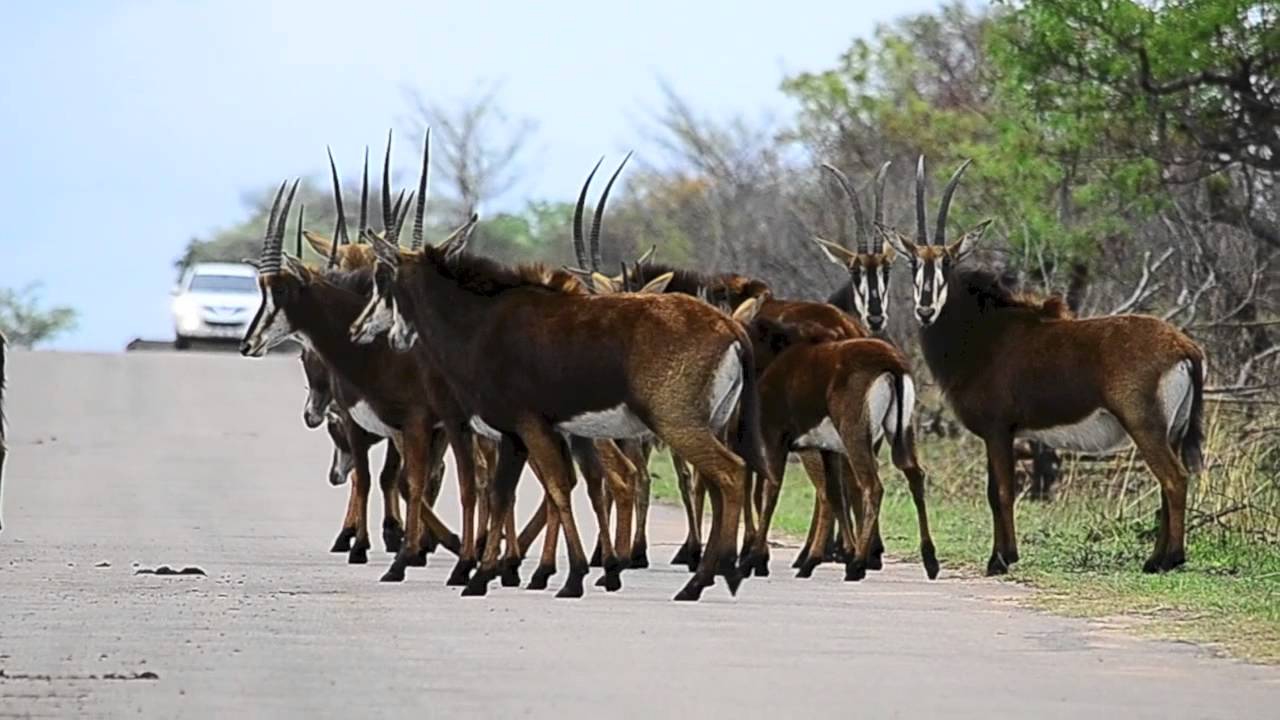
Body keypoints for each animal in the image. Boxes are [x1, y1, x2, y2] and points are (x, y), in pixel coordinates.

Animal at [350, 157, 769, 602]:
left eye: (384, 278)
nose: (387, 335)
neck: (480, 321)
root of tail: (728, 325)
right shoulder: (514, 435)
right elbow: (505, 494)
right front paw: (491, 572)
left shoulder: (529, 425)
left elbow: (555, 489)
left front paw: (566, 576)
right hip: (712, 423)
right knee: (716, 481)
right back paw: (708, 574)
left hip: (679, 424)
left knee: (730, 473)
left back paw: (705, 579)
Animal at [879, 156, 1206, 575]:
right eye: (913, 264)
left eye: (947, 263)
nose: (924, 309)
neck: (983, 332)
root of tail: (1184, 345)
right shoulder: (1002, 433)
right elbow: (996, 490)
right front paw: (1006, 555)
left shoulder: (998, 430)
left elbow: (1000, 491)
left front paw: (999, 560)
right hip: (1174, 431)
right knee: (1169, 484)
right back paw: (1157, 557)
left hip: (1145, 425)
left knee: (1174, 479)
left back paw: (1168, 560)